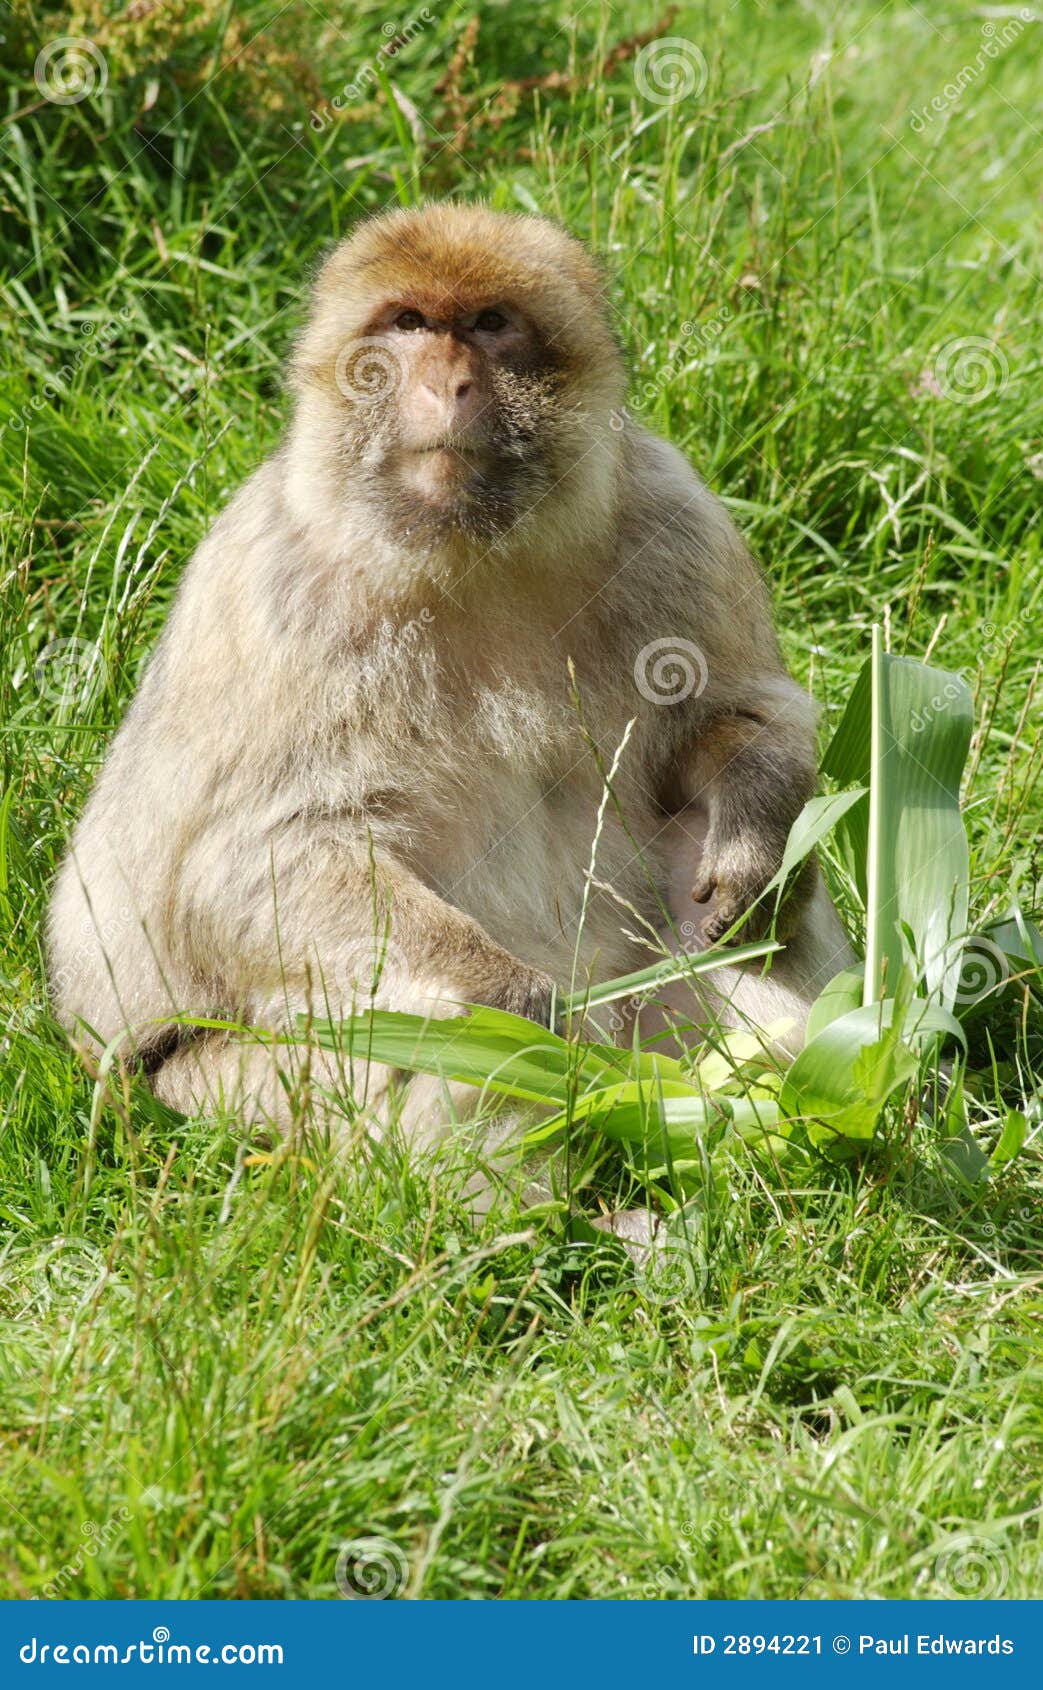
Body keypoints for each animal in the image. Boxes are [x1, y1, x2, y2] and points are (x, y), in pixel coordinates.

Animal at [47, 202, 853, 1206]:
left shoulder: (678, 519)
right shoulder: (276, 588)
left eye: (490, 324)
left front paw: (754, 846)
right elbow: (251, 861)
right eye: (406, 325)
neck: (474, 550)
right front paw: (508, 999)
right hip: (222, 1081)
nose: (450, 382)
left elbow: (733, 719)